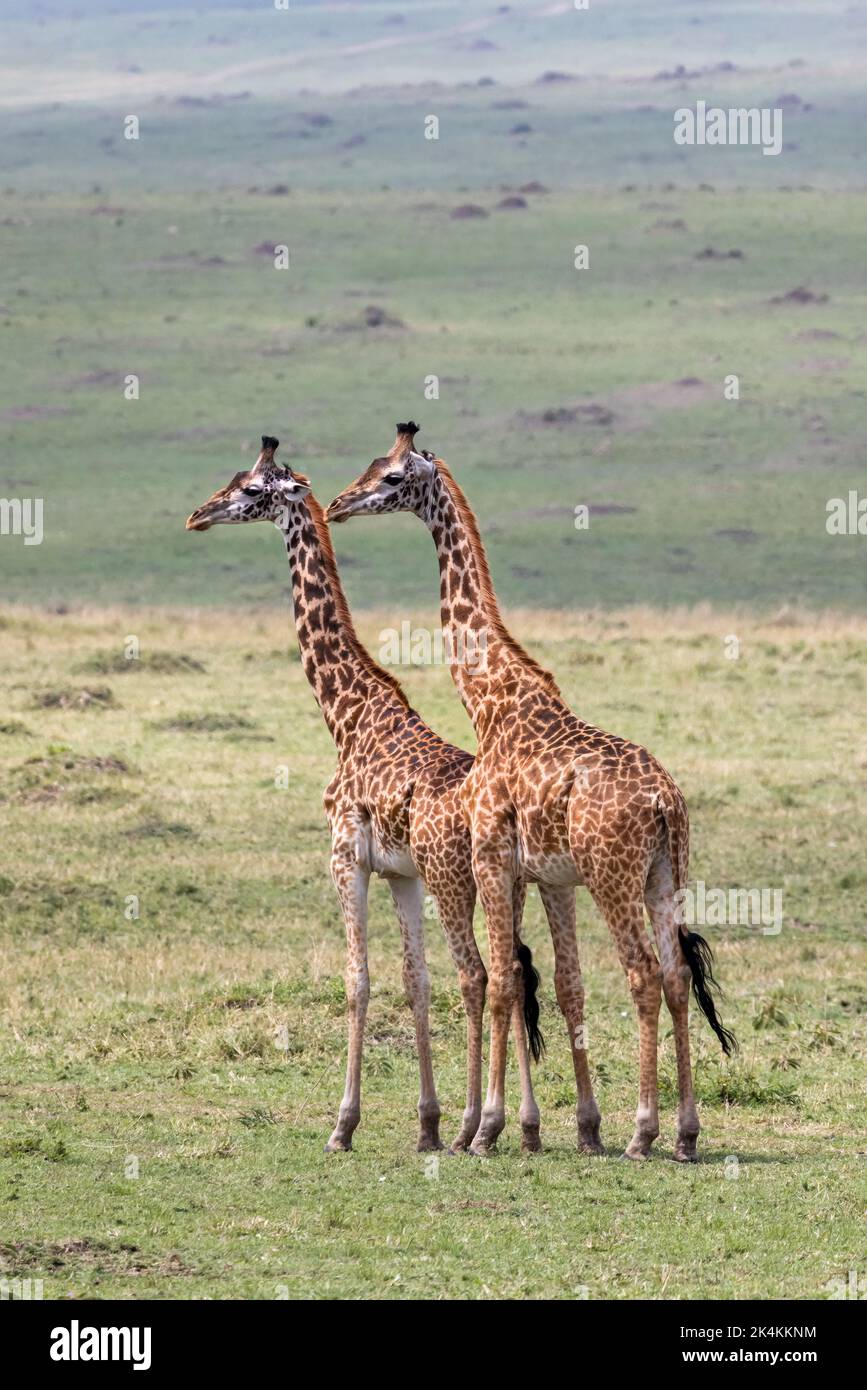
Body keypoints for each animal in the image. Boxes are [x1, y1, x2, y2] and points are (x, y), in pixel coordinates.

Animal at [186, 437, 545, 1155]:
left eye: (250, 491)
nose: (198, 515)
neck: (346, 716)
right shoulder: (400, 874)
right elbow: (414, 982)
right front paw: (426, 1123)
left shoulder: (345, 857)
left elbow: (358, 981)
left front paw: (344, 1125)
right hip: (504, 887)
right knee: (510, 974)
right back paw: (524, 1125)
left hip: (455, 881)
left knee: (479, 975)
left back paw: (481, 1126)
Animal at [327, 423, 737, 1161]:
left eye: (393, 477)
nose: (342, 503)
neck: (489, 700)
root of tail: (665, 802)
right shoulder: (545, 874)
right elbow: (549, 981)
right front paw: (550, 1126)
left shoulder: (492, 855)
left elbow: (498, 981)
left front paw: (485, 1129)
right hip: (667, 873)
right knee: (675, 977)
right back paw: (686, 1135)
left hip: (612, 875)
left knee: (640, 974)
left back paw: (643, 1132)